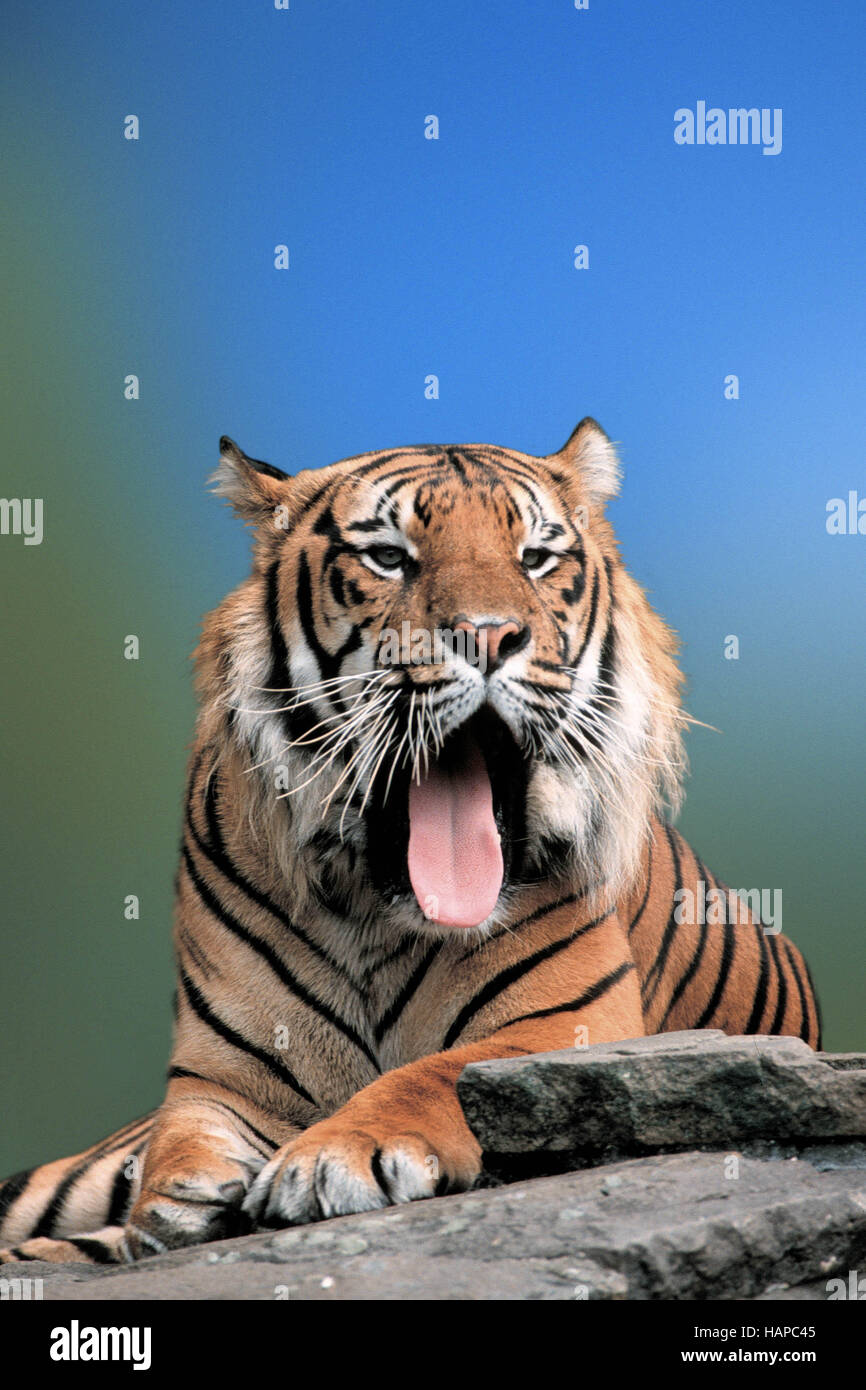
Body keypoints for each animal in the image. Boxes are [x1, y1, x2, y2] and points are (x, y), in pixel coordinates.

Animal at [0, 417, 820, 1267]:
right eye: (389, 557)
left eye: (536, 558)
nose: (488, 637)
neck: (372, 910)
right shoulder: (219, 1074)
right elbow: (185, 1135)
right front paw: (182, 1198)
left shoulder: (565, 1030)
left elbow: (434, 1074)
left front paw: (332, 1156)